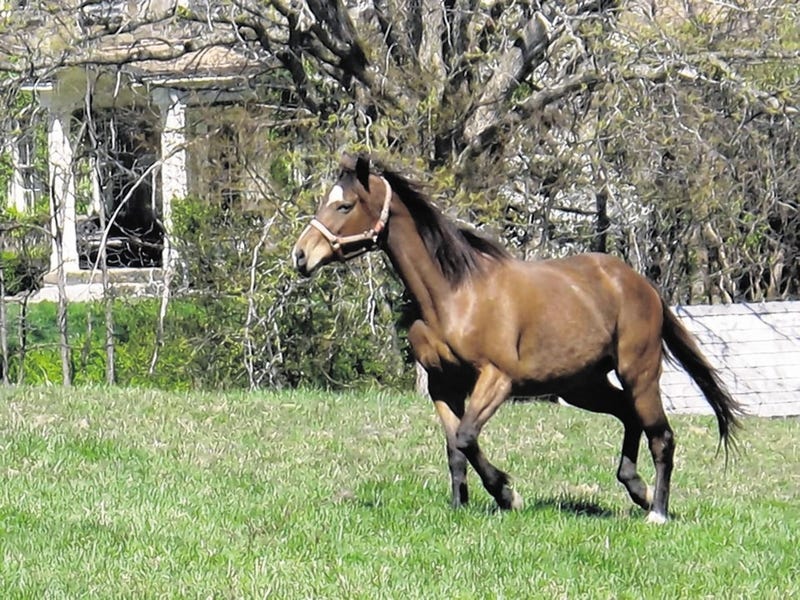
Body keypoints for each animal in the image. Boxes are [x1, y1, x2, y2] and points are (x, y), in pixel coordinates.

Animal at [291, 154, 742, 523]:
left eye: (345, 205)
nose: (301, 255)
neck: (454, 293)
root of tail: (640, 284)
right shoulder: (442, 384)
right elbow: (454, 447)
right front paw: (459, 506)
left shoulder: (497, 379)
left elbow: (467, 437)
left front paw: (507, 494)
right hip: (583, 385)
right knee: (629, 417)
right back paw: (638, 490)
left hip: (639, 373)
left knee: (661, 437)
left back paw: (657, 512)